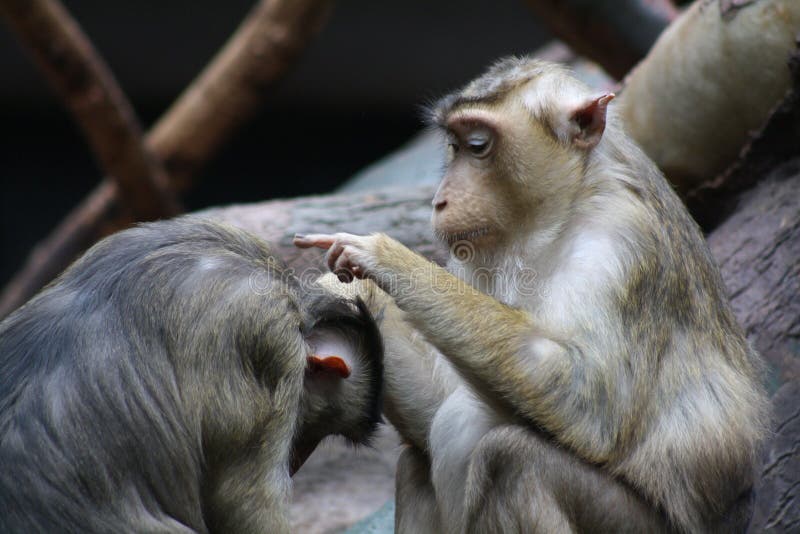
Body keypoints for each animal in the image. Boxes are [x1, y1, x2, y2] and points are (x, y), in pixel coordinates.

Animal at [294, 56, 769, 533]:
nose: (439, 201)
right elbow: (439, 412)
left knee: (513, 460)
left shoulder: (622, 245)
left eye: (479, 146)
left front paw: (384, 257)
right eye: (454, 145)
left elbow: (590, 406)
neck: (562, 213)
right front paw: (347, 289)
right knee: (417, 460)